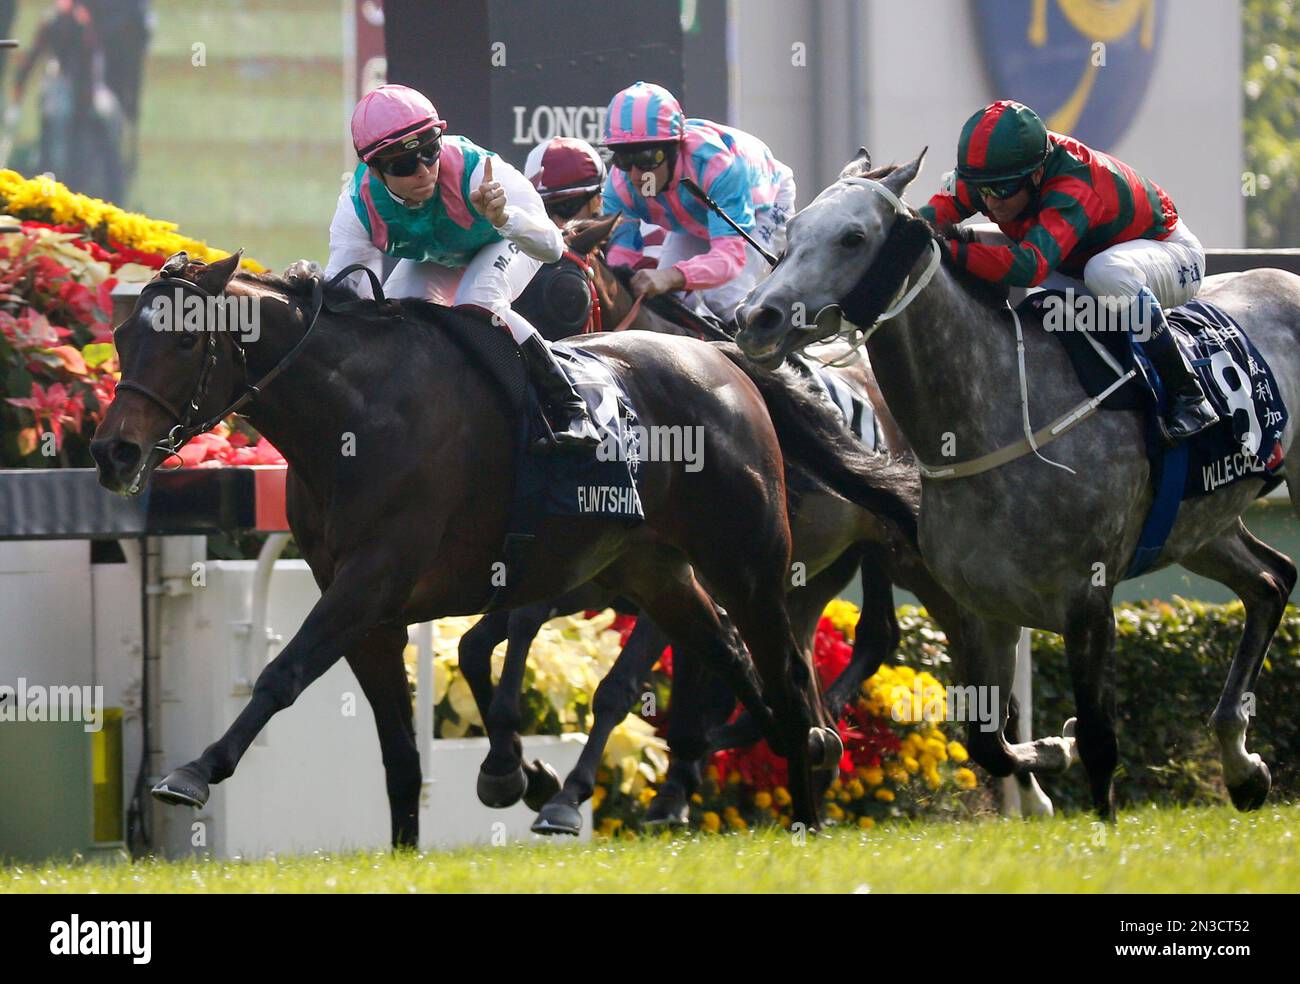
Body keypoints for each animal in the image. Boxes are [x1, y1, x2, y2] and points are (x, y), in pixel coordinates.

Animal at [89, 250, 920, 844]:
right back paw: (795, 759)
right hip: (660, 574)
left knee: (786, 672)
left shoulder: (374, 581)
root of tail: (724, 362)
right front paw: (449, 820)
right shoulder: (373, 615)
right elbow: (400, 753)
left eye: (185, 339)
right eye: (124, 336)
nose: (114, 453)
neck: (355, 415)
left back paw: (805, 793)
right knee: (740, 664)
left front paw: (195, 771)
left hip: (749, 562)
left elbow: (281, 674)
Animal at [736, 148, 1300, 818]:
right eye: (792, 231)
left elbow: (1101, 744)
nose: (756, 318)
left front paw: (1089, 796)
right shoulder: (986, 608)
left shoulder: (1089, 604)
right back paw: (1243, 767)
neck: (989, 419)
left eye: (853, 237)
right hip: (1201, 525)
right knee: (1270, 580)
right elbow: (989, 743)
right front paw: (1055, 750)